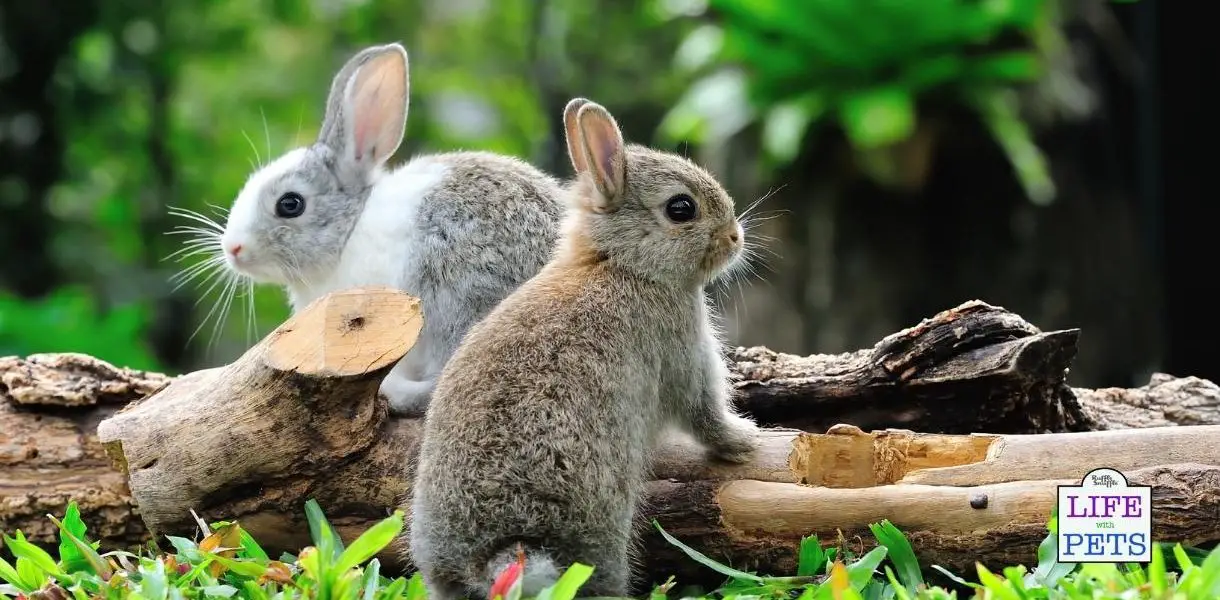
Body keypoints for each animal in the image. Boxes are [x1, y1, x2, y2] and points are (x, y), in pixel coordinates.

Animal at [407, 97, 761, 600]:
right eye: (681, 208)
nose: (735, 238)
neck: (620, 264)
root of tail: (495, 554)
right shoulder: (682, 348)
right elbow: (704, 413)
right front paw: (745, 440)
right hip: (599, 531)